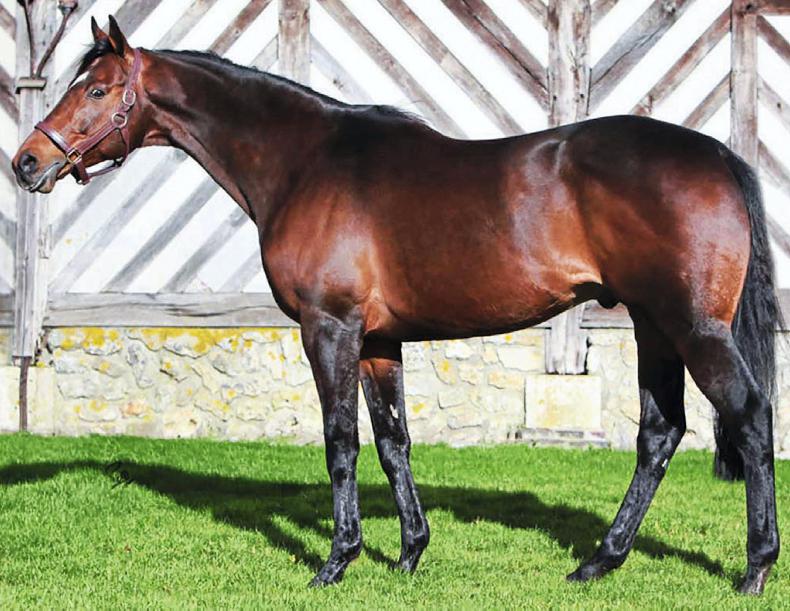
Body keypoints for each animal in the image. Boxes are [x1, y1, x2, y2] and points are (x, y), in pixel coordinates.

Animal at [12, 16, 780, 595]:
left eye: (98, 88)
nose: (25, 163)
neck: (305, 163)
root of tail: (716, 155)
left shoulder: (329, 329)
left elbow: (341, 442)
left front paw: (336, 560)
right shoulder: (380, 342)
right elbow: (393, 440)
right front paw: (410, 551)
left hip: (693, 327)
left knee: (748, 415)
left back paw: (754, 568)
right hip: (654, 326)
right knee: (660, 431)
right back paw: (599, 561)